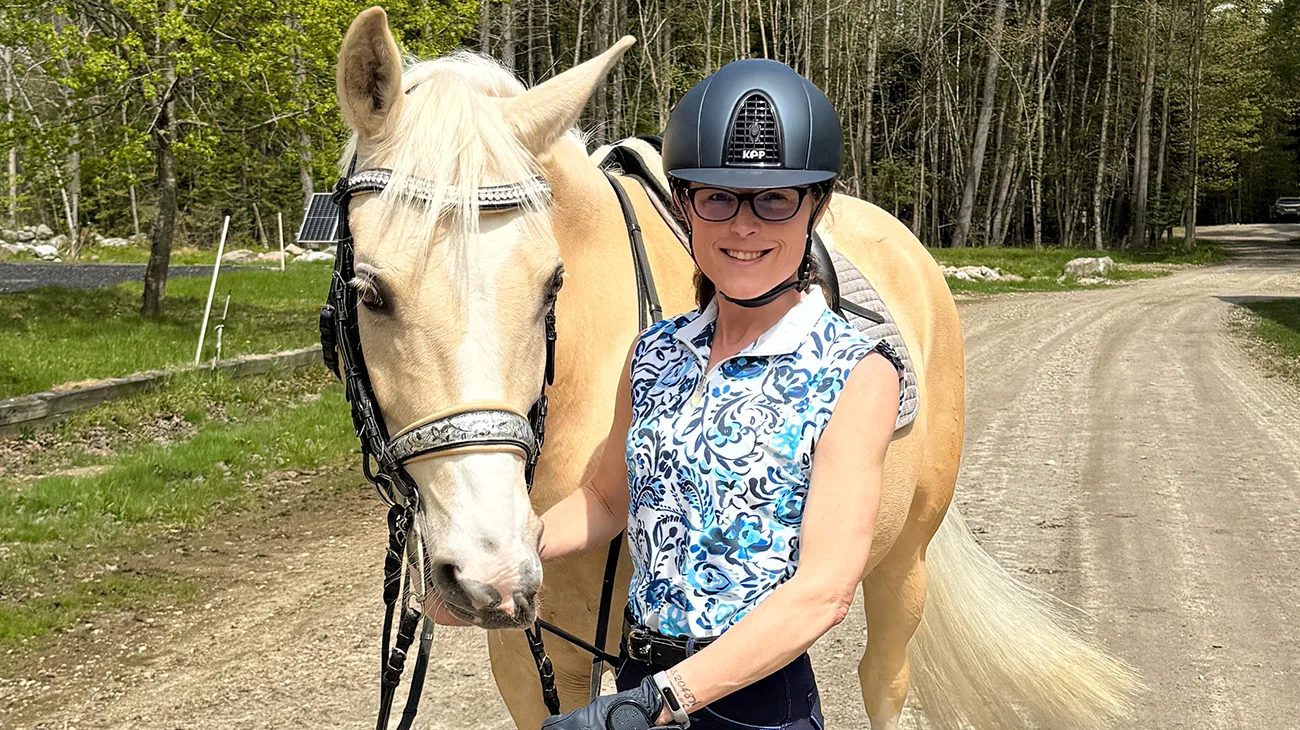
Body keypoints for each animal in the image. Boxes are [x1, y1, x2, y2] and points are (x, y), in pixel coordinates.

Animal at [331, 7, 1139, 730]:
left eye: (551, 284)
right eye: (370, 292)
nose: (489, 571)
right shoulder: (531, 658)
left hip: (900, 564)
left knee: (884, 678)